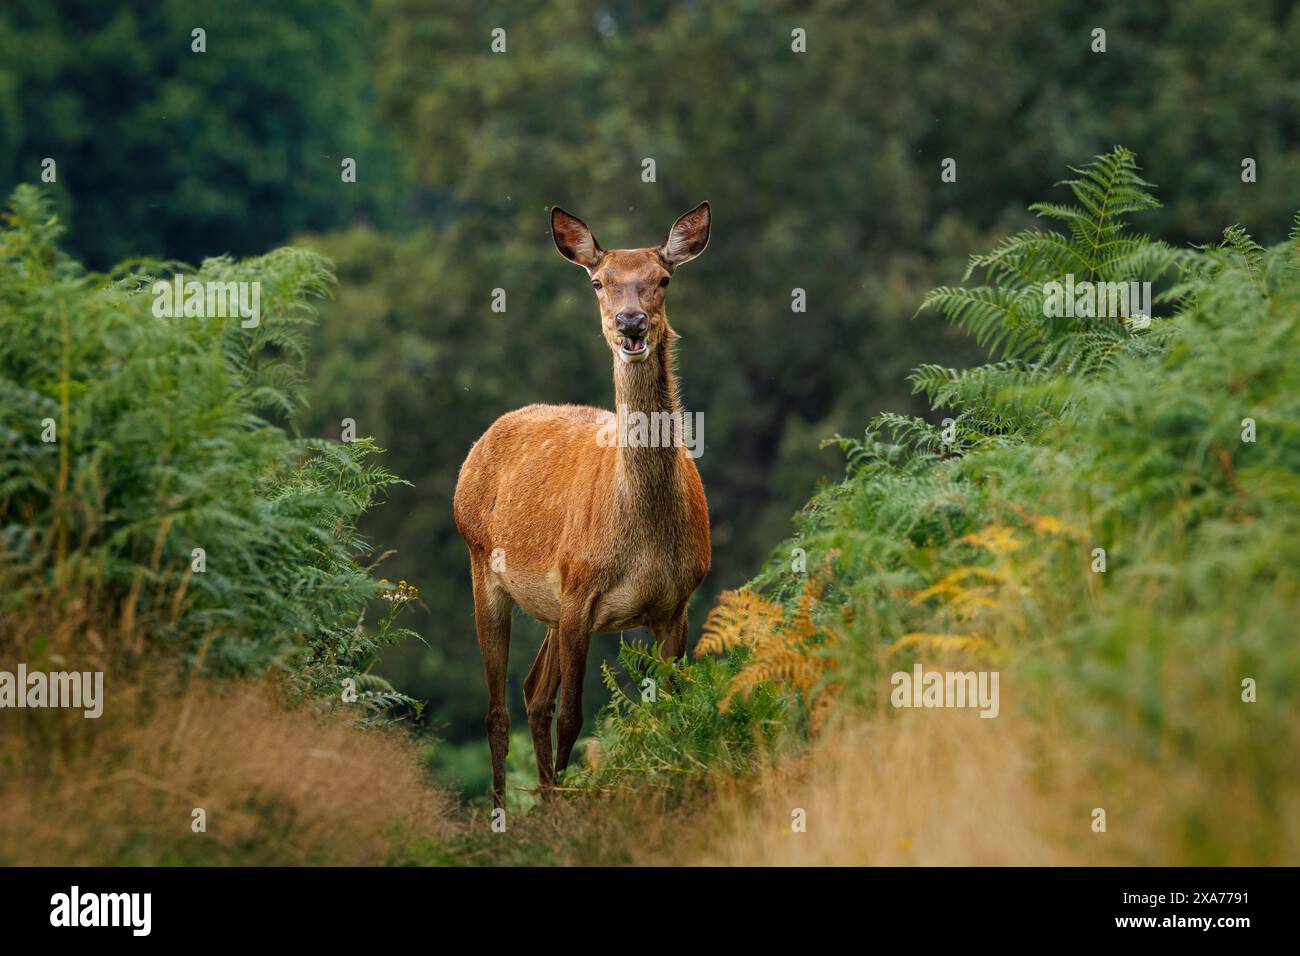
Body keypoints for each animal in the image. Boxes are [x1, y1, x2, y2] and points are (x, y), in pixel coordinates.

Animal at [453, 203, 713, 809]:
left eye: (663, 279)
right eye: (599, 282)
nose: (631, 323)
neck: (643, 539)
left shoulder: (677, 605)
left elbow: (670, 708)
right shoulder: (579, 593)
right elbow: (573, 716)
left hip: (549, 604)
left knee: (532, 691)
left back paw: (545, 796)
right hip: (484, 567)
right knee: (499, 709)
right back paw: (505, 811)